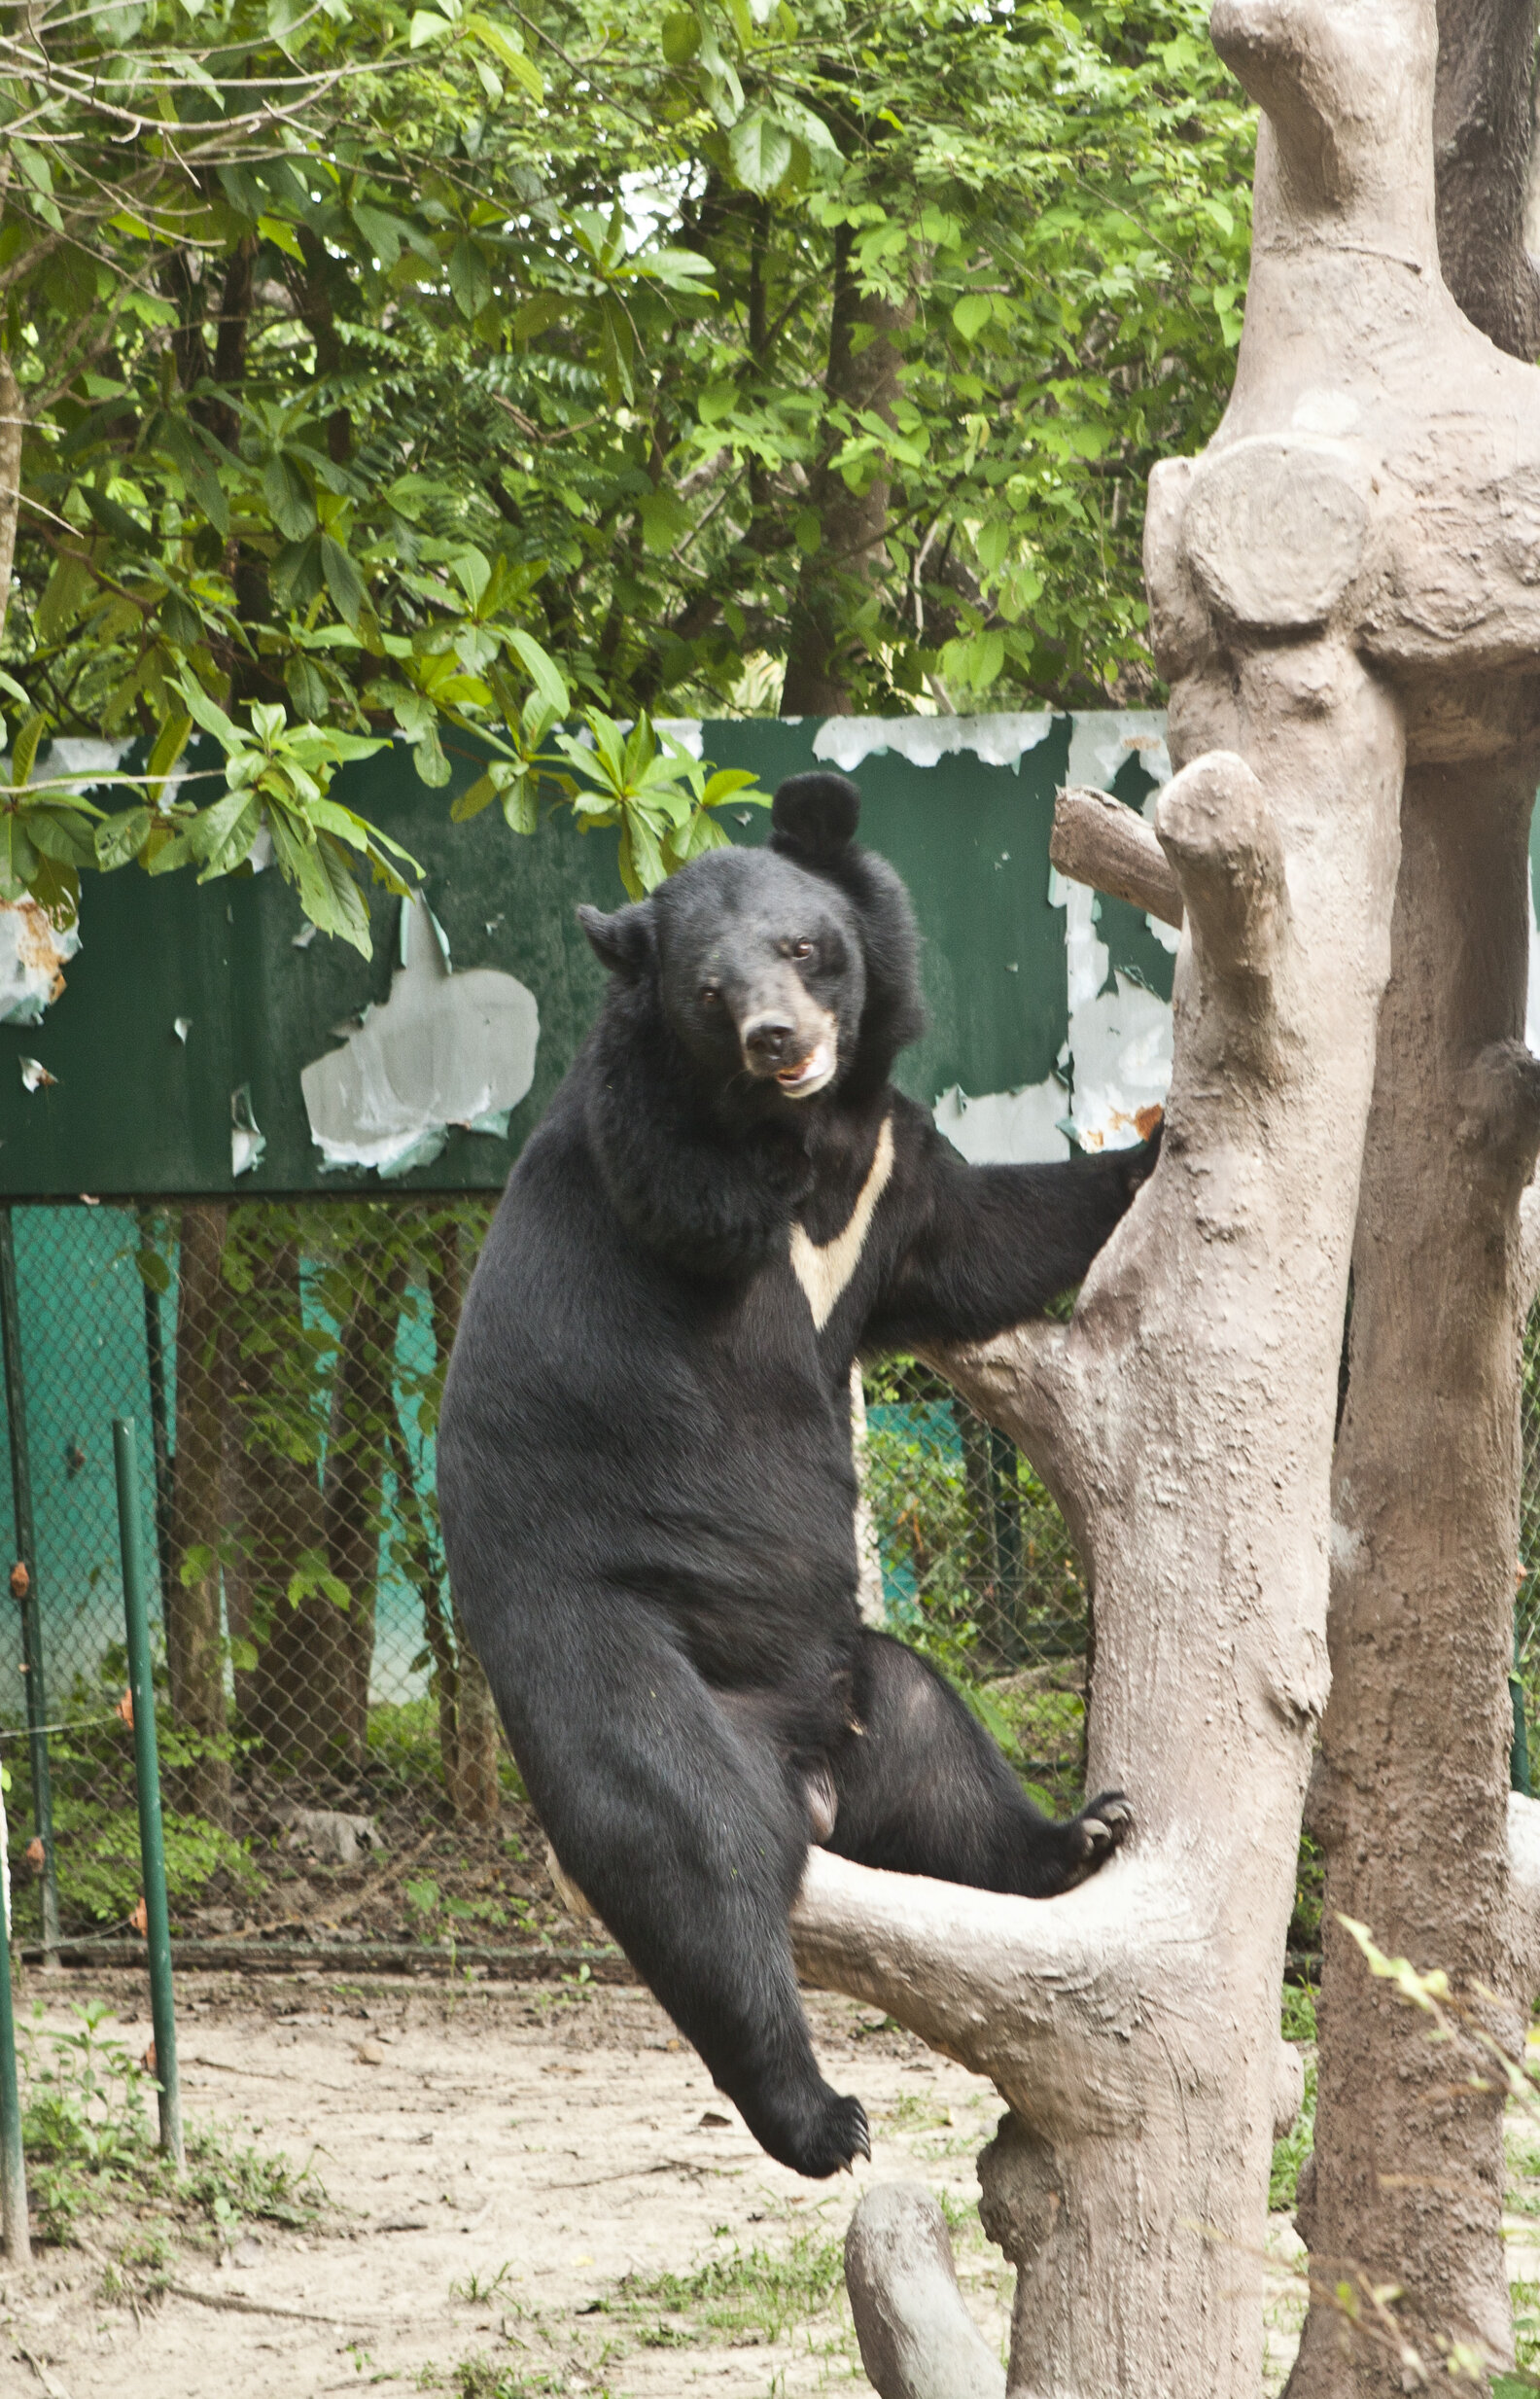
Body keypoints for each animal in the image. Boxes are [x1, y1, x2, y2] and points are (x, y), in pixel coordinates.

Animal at [437, 769, 1157, 2180]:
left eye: (807, 946)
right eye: (712, 993)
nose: (779, 1037)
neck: (808, 1130)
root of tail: (803, 1766)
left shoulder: (896, 1172)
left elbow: (994, 1234)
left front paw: (1152, 1143)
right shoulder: (663, 1171)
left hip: (869, 1683)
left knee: (945, 1770)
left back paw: (1082, 1832)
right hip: (618, 1660)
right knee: (696, 1855)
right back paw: (818, 2115)